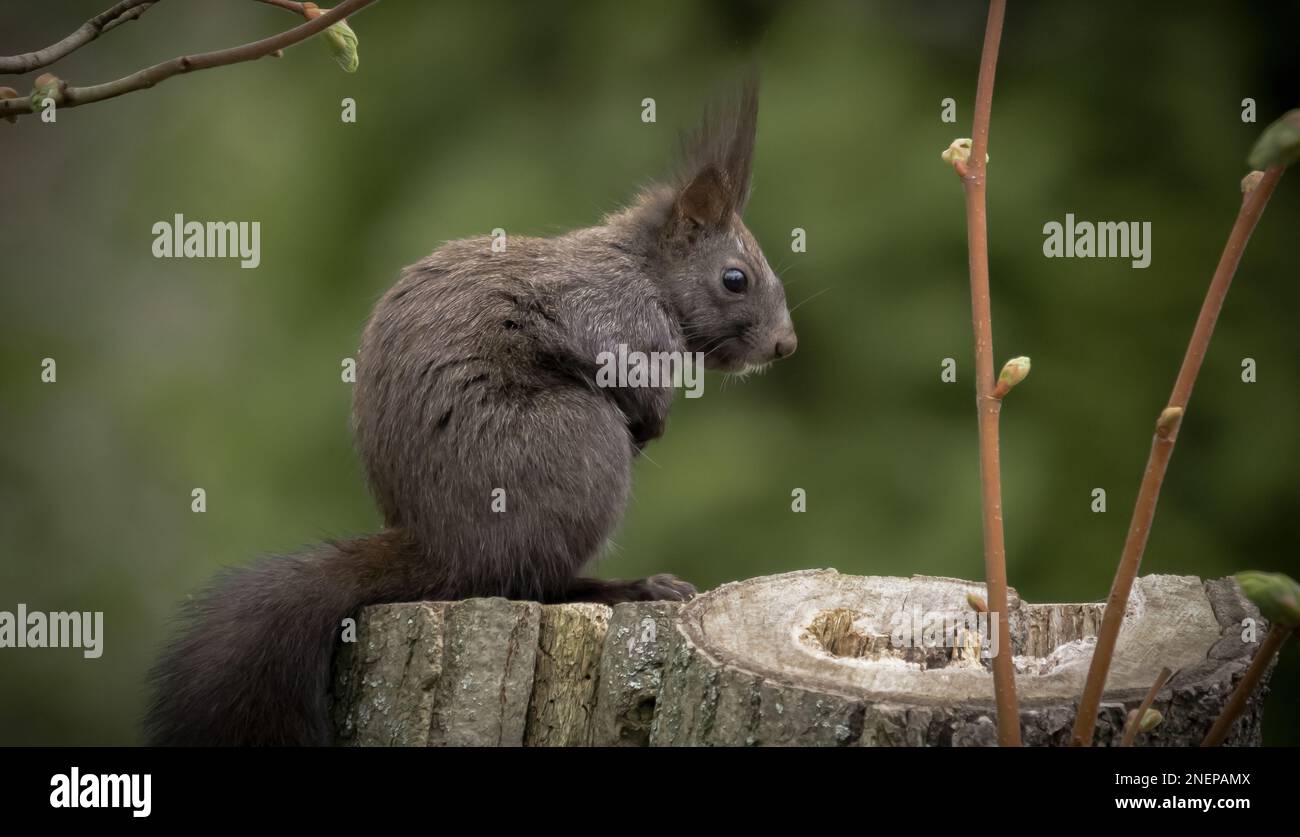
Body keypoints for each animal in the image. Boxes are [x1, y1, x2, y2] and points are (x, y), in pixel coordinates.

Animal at [144, 79, 797, 746]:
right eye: (736, 278)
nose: (785, 344)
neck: (644, 271)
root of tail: (439, 547)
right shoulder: (609, 313)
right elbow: (626, 378)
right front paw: (653, 420)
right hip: (575, 447)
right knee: (530, 583)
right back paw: (630, 588)